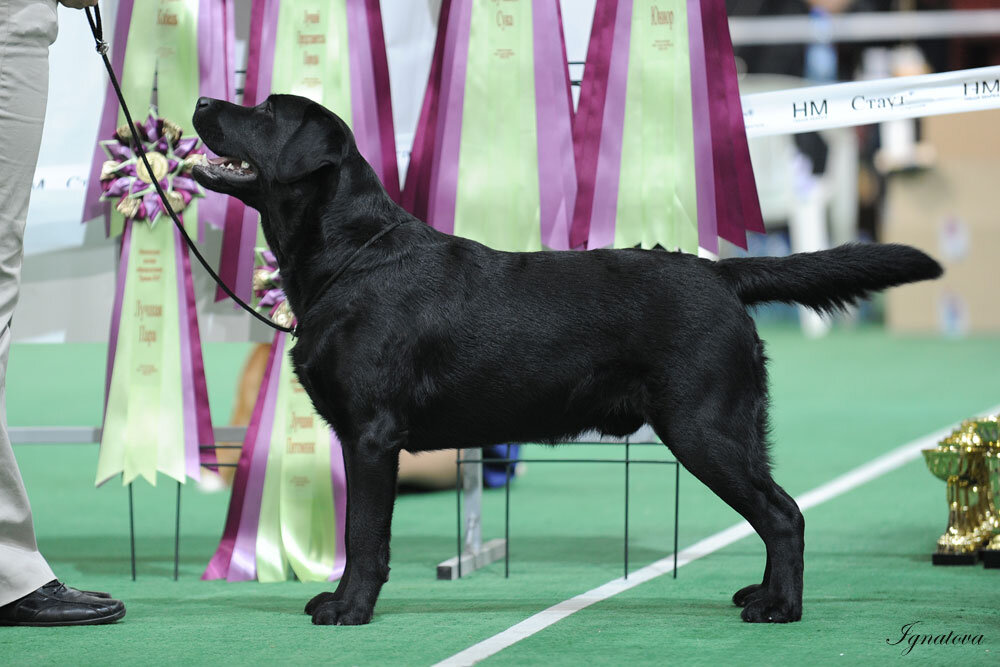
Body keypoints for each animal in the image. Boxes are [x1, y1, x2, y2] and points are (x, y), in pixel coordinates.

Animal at [191, 94, 940, 628]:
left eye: (265, 112)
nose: (199, 100)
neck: (351, 254)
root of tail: (722, 274)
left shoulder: (372, 436)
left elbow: (365, 534)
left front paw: (349, 608)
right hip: (734, 428)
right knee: (775, 512)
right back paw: (764, 591)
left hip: (705, 427)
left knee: (784, 514)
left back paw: (778, 607)